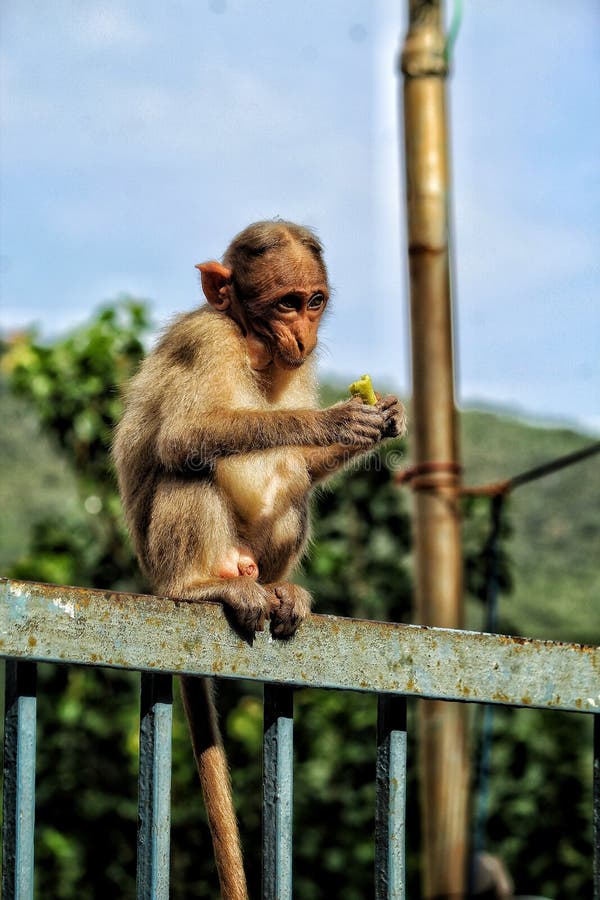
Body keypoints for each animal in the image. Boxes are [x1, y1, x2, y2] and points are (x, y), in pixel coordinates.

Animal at [113, 220, 406, 899]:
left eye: (313, 301)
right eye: (283, 304)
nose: (303, 336)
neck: (252, 347)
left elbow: (301, 467)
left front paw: (383, 421)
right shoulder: (205, 340)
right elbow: (183, 437)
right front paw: (334, 419)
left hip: (257, 550)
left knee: (291, 488)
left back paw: (278, 589)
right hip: (170, 560)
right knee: (189, 464)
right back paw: (198, 587)